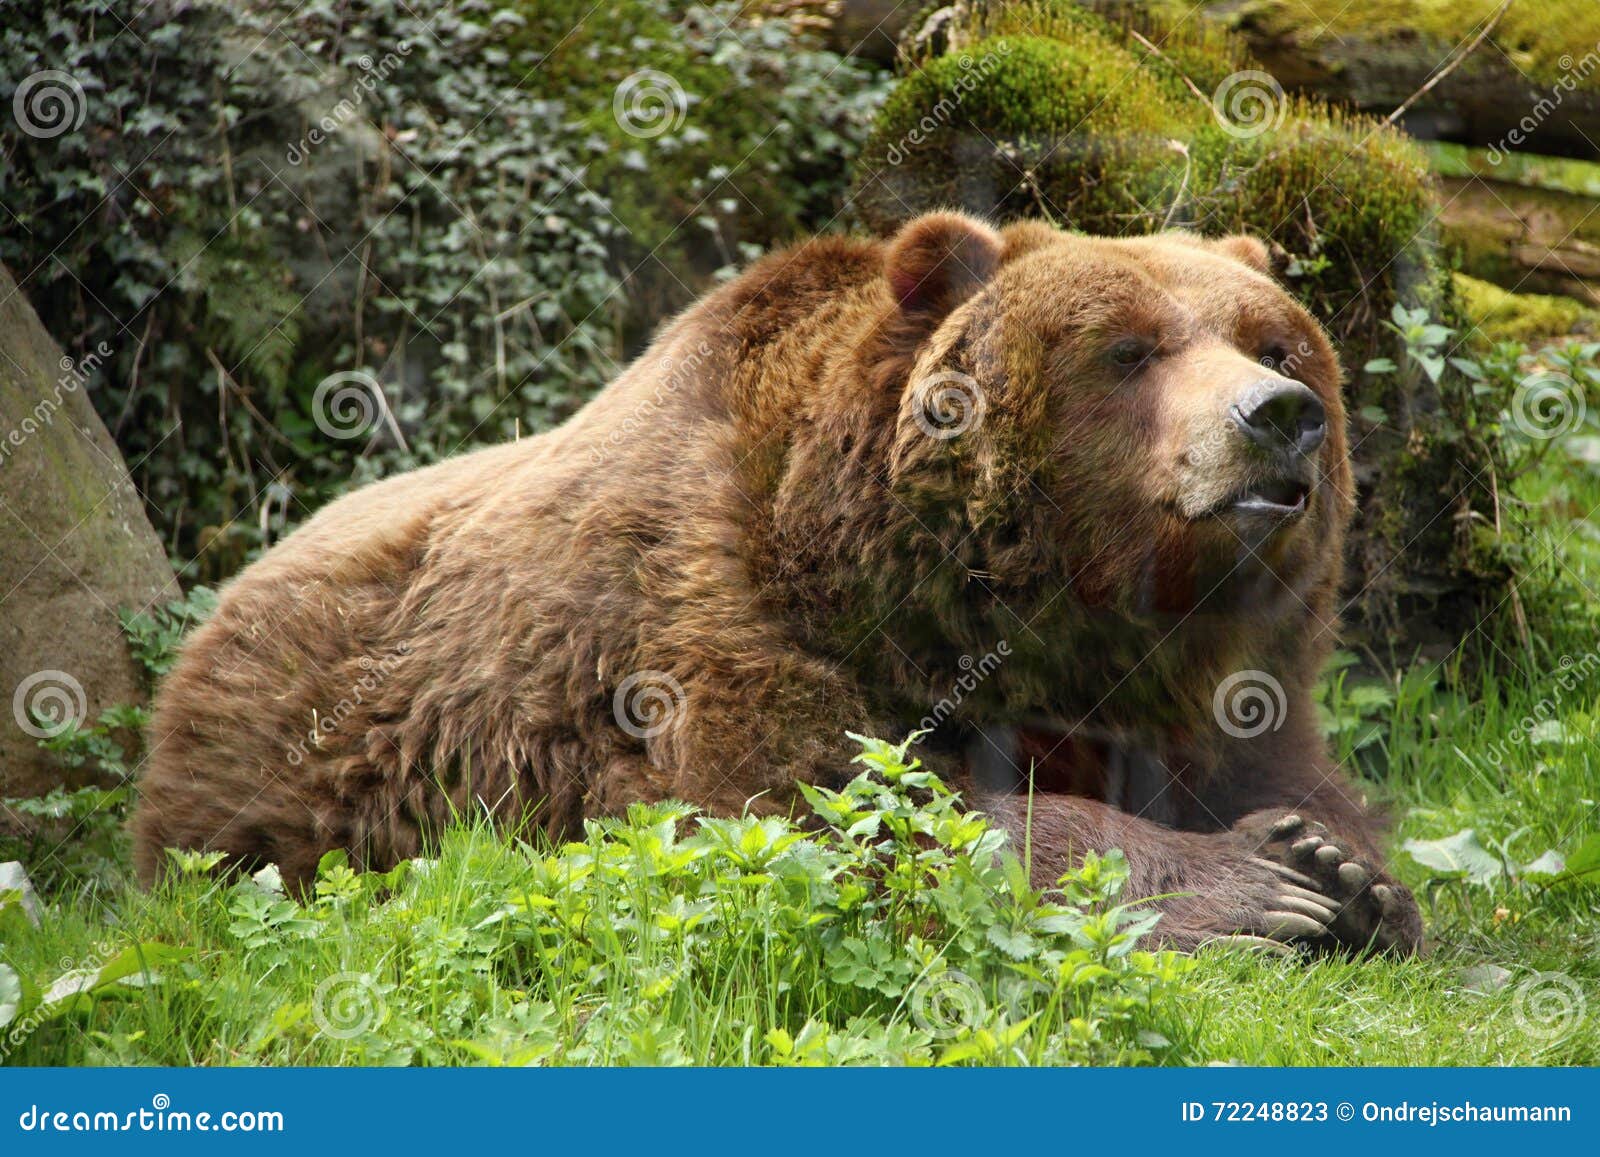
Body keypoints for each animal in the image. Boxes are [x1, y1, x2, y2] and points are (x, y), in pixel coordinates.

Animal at [130, 211, 1423, 956]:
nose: (1277, 416)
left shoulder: (1215, 685)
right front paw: (1261, 880)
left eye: (1273, 342)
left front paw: (1344, 865)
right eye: (1130, 348)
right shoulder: (694, 619)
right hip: (282, 778)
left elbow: (1299, 778)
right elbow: (813, 815)